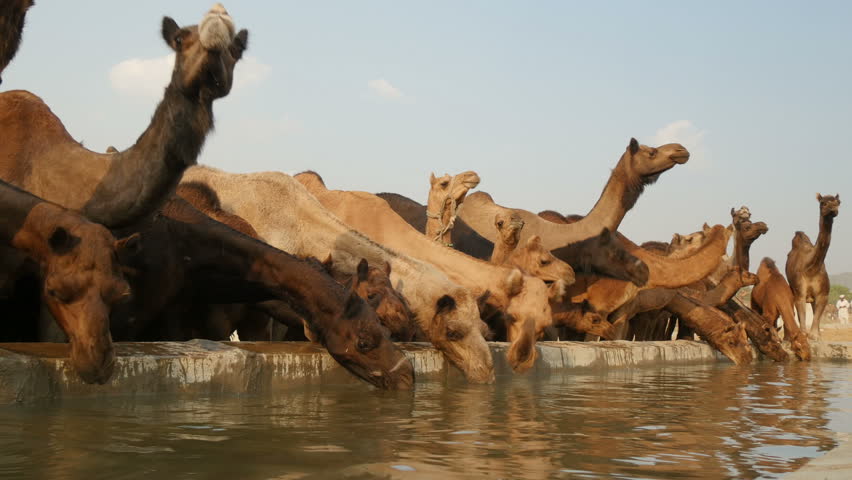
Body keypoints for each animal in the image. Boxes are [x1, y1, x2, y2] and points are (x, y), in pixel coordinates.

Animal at [786, 193, 840, 339]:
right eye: (823, 203)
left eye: (838, 202)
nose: (833, 209)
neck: (811, 268)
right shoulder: (799, 292)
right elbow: (801, 313)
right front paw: (803, 334)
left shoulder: (823, 294)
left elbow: (817, 314)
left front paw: (816, 335)